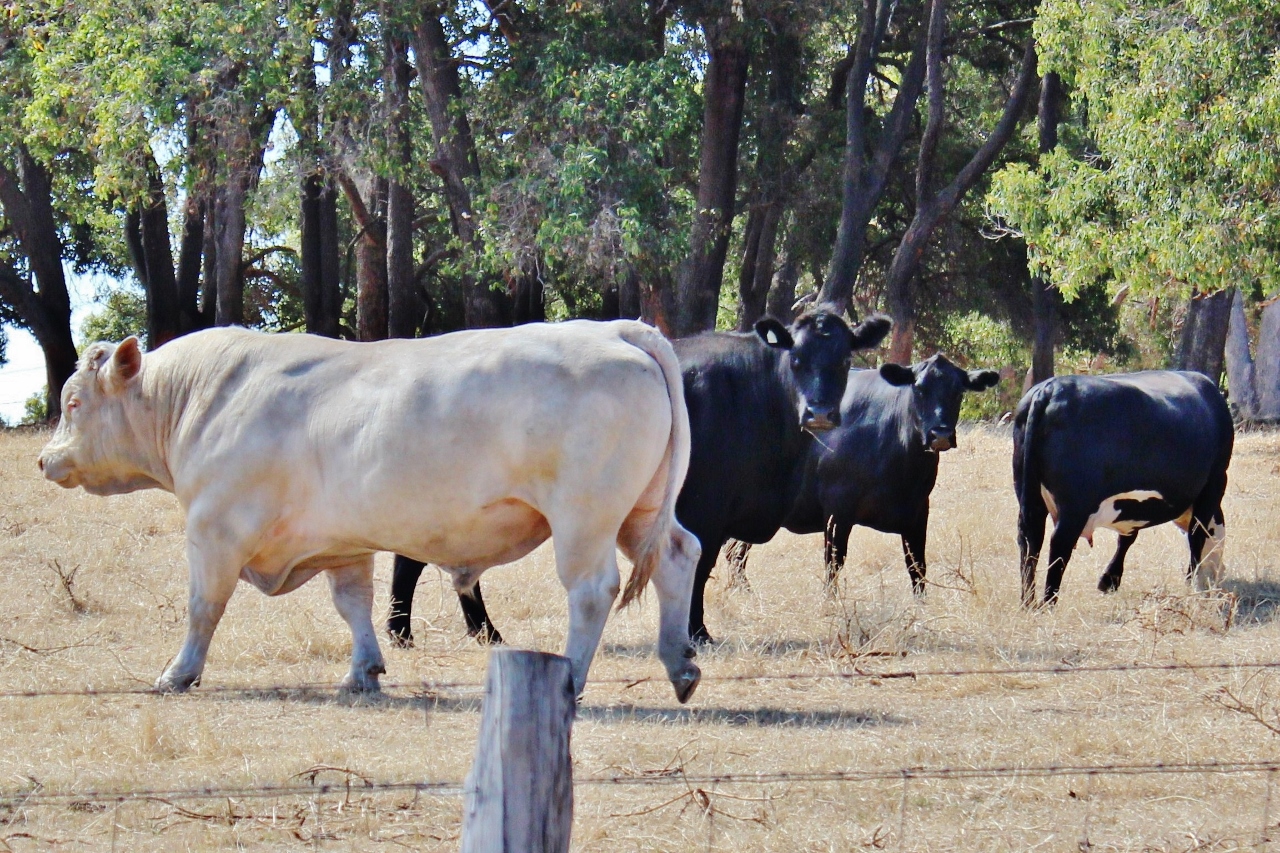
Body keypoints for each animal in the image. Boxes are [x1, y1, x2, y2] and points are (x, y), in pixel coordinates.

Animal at [37, 321, 703, 702]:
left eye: (73, 402)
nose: (46, 460)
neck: (203, 396)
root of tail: (616, 331)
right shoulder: (343, 542)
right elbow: (353, 603)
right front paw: (363, 672)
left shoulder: (214, 528)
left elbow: (203, 606)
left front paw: (178, 674)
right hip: (640, 511)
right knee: (678, 556)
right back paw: (680, 665)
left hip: (585, 516)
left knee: (591, 590)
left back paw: (574, 678)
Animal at [387, 306, 893, 646]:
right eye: (797, 359)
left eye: (843, 360)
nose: (820, 412)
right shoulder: (704, 511)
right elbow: (699, 567)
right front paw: (696, 632)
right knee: (413, 560)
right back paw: (406, 632)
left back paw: (475, 633)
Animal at [723, 354, 1000, 594]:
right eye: (919, 389)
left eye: (958, 391)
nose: (940, 434)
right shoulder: (837, 511)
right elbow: (833, 565)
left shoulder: (918, 512)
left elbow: (917, 568)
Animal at [1012, 370, 1234, 606]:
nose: (1219, 575)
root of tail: (1050, 388)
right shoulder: (1215, 482)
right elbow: (1196, 536)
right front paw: (1192, 582)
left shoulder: (1133, 506)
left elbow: (1128, 536)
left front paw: (1109, 580)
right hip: (1075, 507)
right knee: (1059, 545)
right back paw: (1048, 604)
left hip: (1030, 497)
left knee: (1030, 539)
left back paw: (1028, 603)